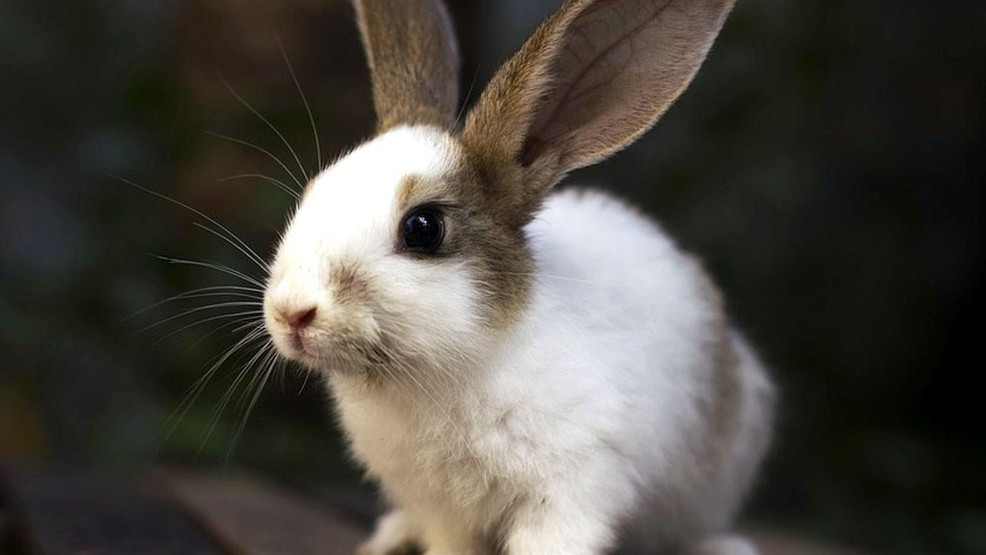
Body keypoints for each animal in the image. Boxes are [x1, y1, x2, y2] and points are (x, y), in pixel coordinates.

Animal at [261, 0, 775, 554]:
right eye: (313, 192)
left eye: (423, 228)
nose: (292, 312)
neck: (445, 369)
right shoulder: (444, 512)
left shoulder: (567, 492)